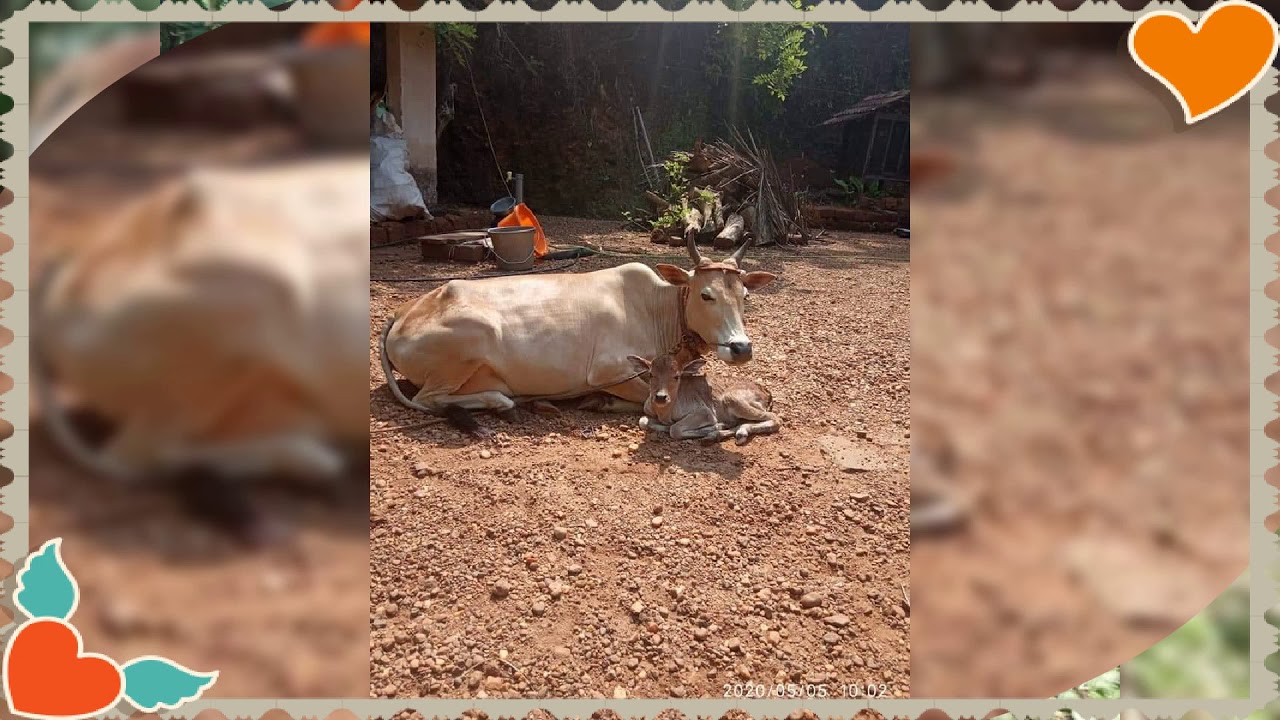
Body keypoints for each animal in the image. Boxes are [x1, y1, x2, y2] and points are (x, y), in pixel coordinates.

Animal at [378, 237, 777, 434]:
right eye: (705, 294)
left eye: (744, 295)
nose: (741, 348)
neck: (656, 308)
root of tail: (402, 313)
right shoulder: (607, 370)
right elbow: (644, 399)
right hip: (467, 347)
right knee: (431, 398)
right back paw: (504, 403)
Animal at [628, 350, 781, 445]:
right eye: (651, 374)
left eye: (676, 376)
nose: (660, 397)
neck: (665, 412)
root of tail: (766, 393)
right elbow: (643, 421)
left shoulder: (705, 411)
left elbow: (675, 430)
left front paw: (714, 426)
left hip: (734, 399)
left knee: (775, 419)